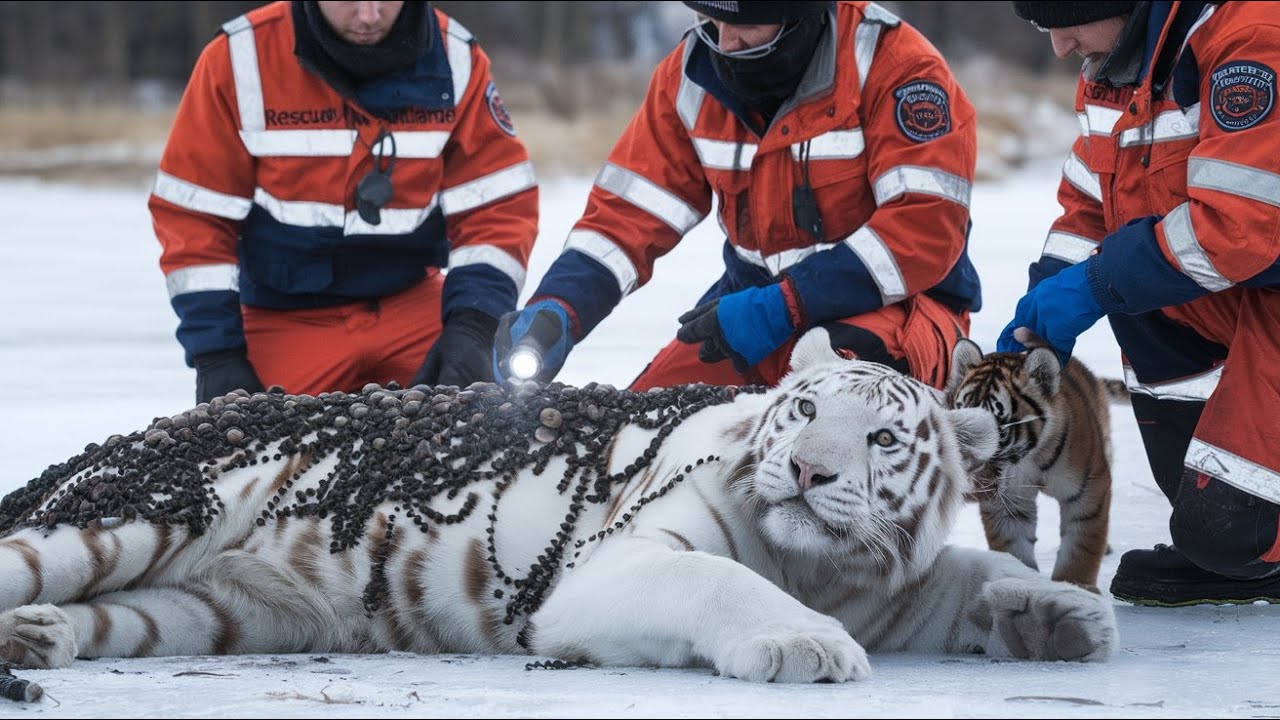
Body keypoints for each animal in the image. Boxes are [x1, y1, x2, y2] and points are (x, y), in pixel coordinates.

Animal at [945, 337, 1130, 592]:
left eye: (998, 426)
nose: (969, 478)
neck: (1031, 459)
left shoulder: (1087, 491)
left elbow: (1081, 546)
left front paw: (1077, 588)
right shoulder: (1009, 503)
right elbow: (1014, 546)